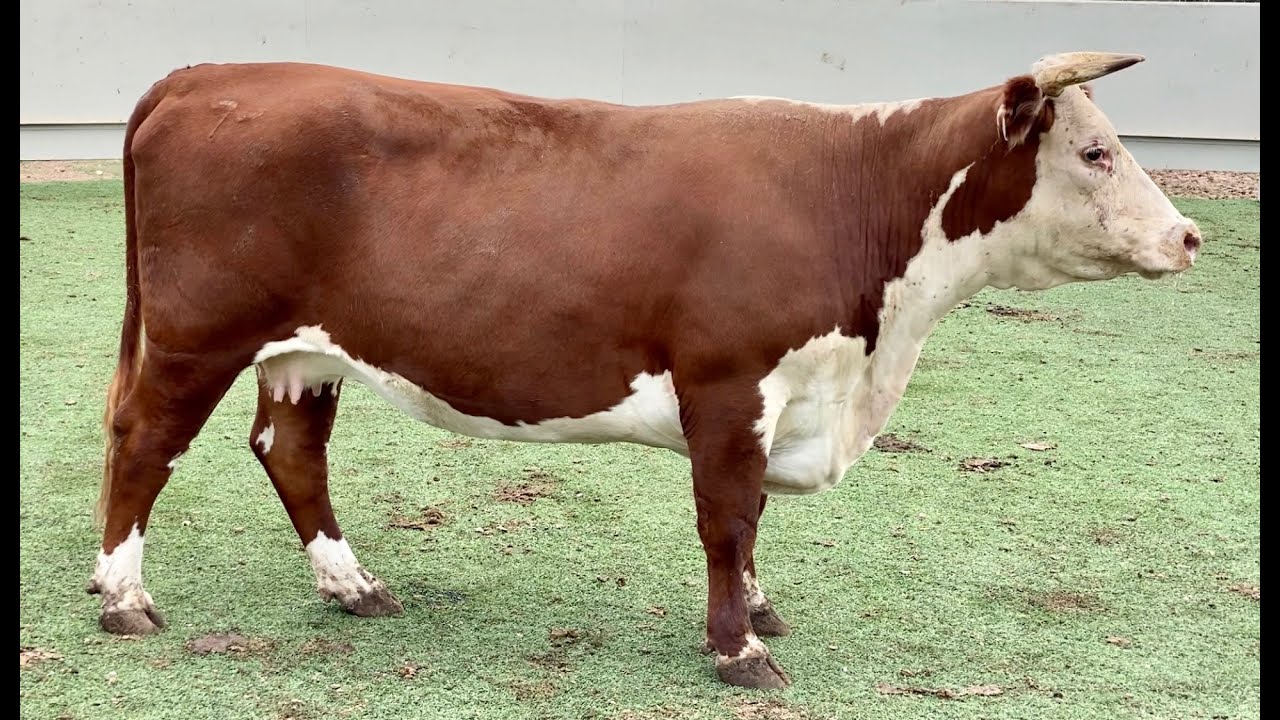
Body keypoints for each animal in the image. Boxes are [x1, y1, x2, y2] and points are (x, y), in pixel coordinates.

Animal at [88, 52, 1201, 689]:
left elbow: (754, 516)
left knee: (290, 451)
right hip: (198, 333)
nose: (1189, 236)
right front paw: (738, 648)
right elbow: (729, 515)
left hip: (303, 347)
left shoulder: (783, 393)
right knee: (144, 441)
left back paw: (351, 584)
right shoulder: (728, 382)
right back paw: (123, 597)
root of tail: (206, 71)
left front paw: (758, 609)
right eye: (1095, 152)